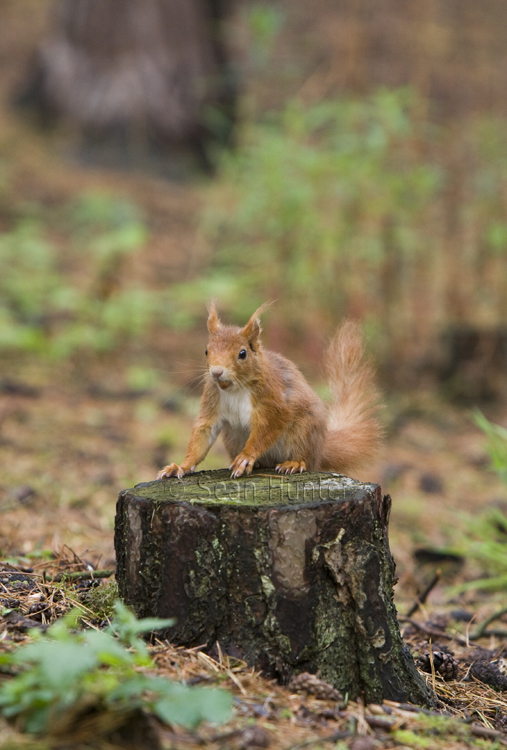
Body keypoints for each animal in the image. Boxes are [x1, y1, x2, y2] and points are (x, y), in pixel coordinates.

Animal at [157, 302, 382, 480]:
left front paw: (246, 457)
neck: (235, 387)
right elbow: (203, 433)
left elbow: (267, 429)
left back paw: (294, 463)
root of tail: (321, 448)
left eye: (242, 353)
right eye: (206, 351)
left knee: (306, 459)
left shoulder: (273, 399)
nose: (217, 372)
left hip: (303, 431)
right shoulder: (212, 397)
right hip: (232, 436)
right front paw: (181, 466)